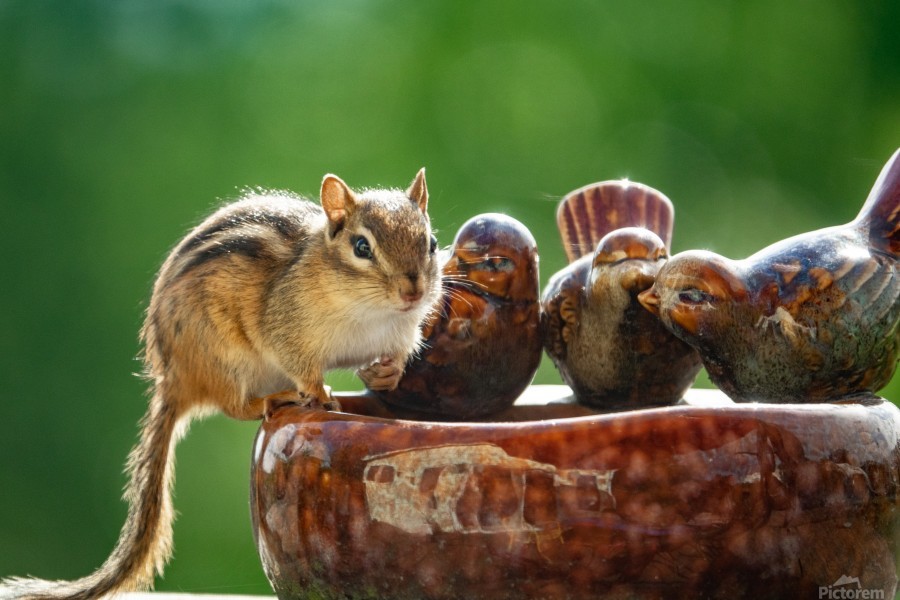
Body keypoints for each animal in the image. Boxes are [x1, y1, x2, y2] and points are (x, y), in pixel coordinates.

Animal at [1, 169, 442, 600]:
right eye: (362, 247)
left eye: (432, 242)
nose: (413, 291)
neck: (373, 313)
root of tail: (173, 381)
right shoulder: (286, 330)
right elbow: (302, 367)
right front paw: (319, 394)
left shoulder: (396, 335)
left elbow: (390, 360)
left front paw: (385, 375)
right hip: (229, 361)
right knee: (235, 406)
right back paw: (276, 398)